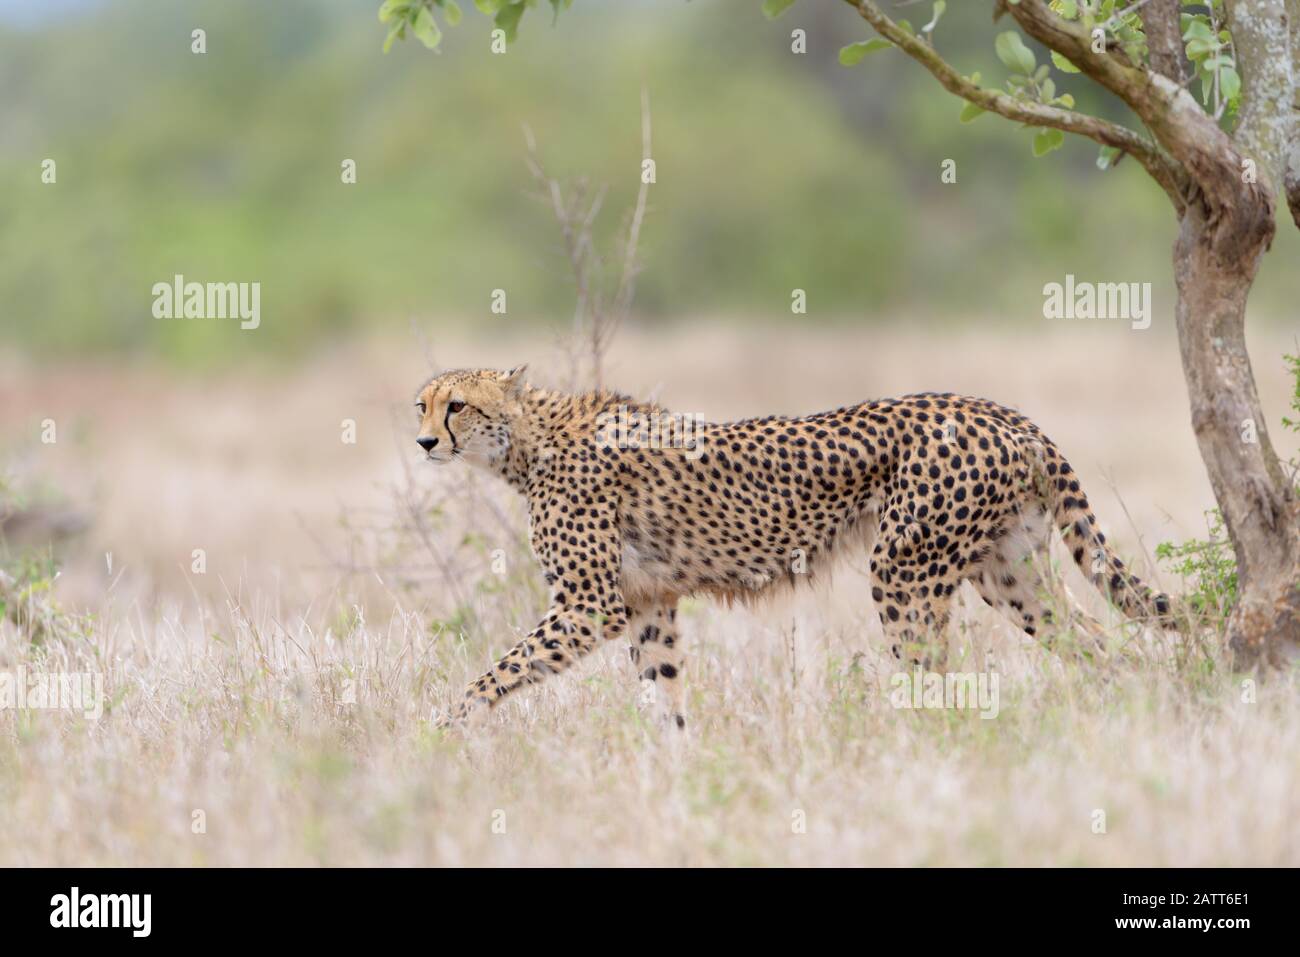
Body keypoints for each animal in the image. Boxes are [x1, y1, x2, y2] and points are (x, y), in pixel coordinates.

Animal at [414, 366, 1172, 728]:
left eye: (457, 405)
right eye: (420, 404)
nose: (423, 441)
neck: (526, 440)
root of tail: (1000, 410)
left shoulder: (589, 603)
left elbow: (497, 671)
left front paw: (443, 730)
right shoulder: (649, 601)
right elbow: (663, 692)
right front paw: (676, 766)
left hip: (905, 570)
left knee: (937, 679)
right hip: (1009, 571)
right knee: (1103, 643)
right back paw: (1130, 710)